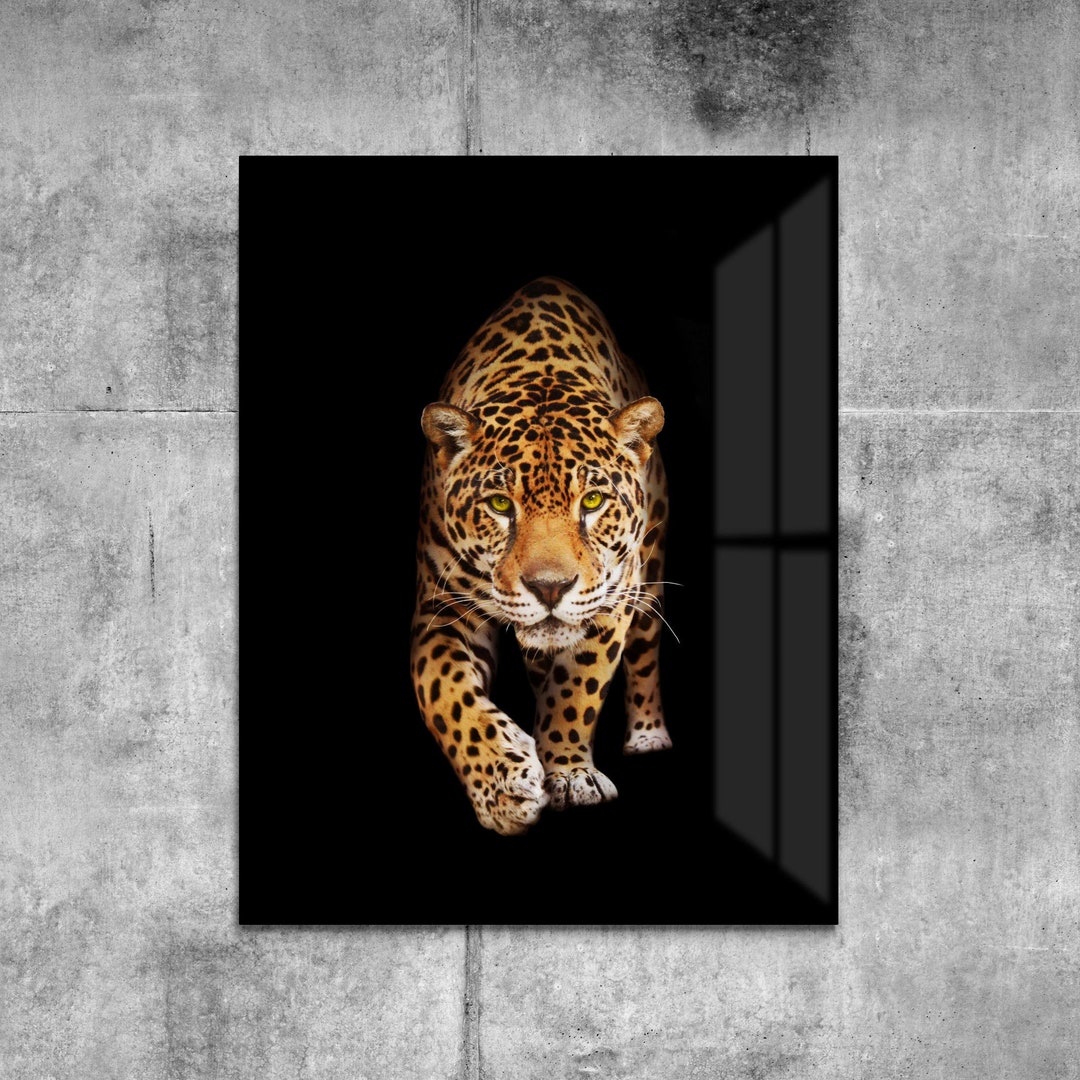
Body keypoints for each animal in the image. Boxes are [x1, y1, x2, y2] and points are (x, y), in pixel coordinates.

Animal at [411, 276, 672, 836]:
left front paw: (570, 774)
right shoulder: (441, 609)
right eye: (499, 504)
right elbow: (444, 692)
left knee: (644, 652)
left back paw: (648, 735)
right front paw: (503, 787)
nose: (549, 587)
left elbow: (577, 688)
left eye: (592, 502)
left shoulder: (613, 597)